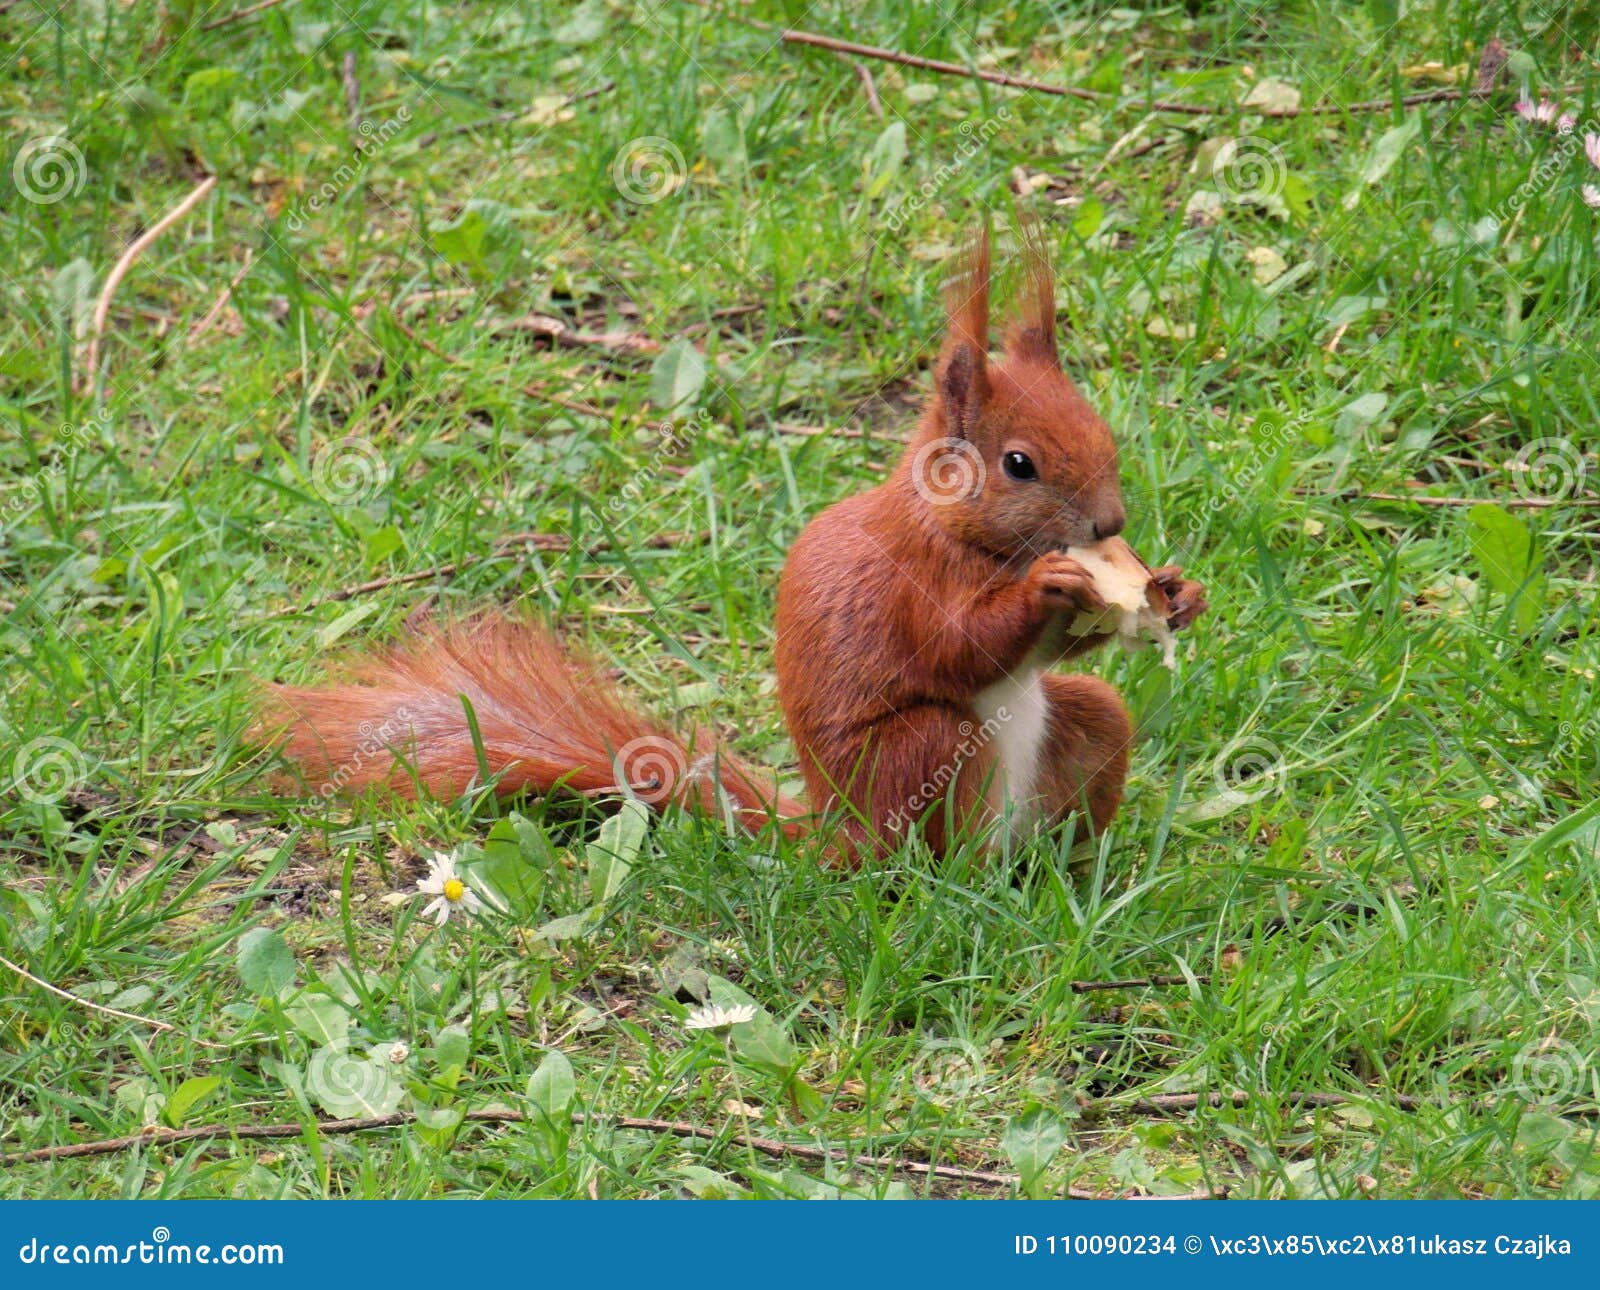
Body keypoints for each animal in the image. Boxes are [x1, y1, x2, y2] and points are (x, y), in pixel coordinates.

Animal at [257, 226, 1206, 864]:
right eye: (1019, 464)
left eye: (1101, 429)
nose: (1107, 526)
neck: (954, 530)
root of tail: (829, 834)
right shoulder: (910, 579)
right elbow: (957, 645)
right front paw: (1051, 585)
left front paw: (1175, 590)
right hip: (922, 756)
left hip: (1086, 725)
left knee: (1086, 729)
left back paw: (1064, 876)